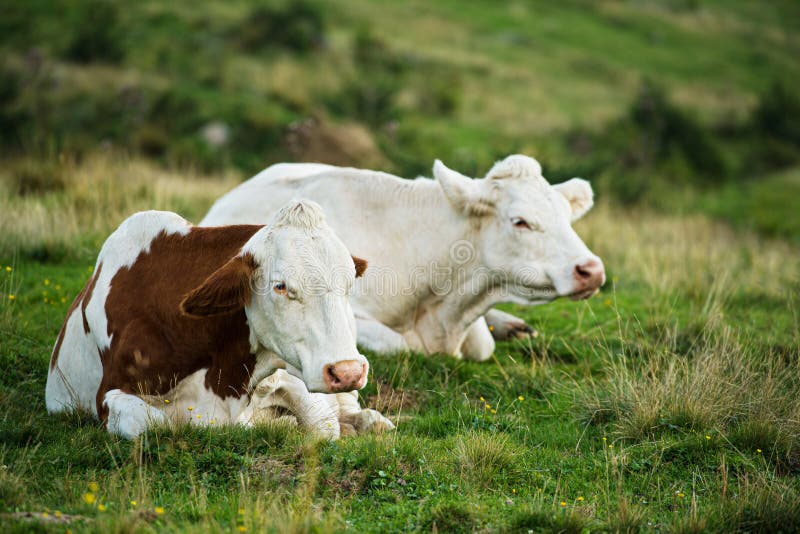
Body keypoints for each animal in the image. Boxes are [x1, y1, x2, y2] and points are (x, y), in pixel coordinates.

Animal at [45, 200, 393, 439]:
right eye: (280, 286)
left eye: (349, 283)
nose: (347, 371)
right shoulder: (109, 392)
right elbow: (151, 423)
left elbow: (322, 425)